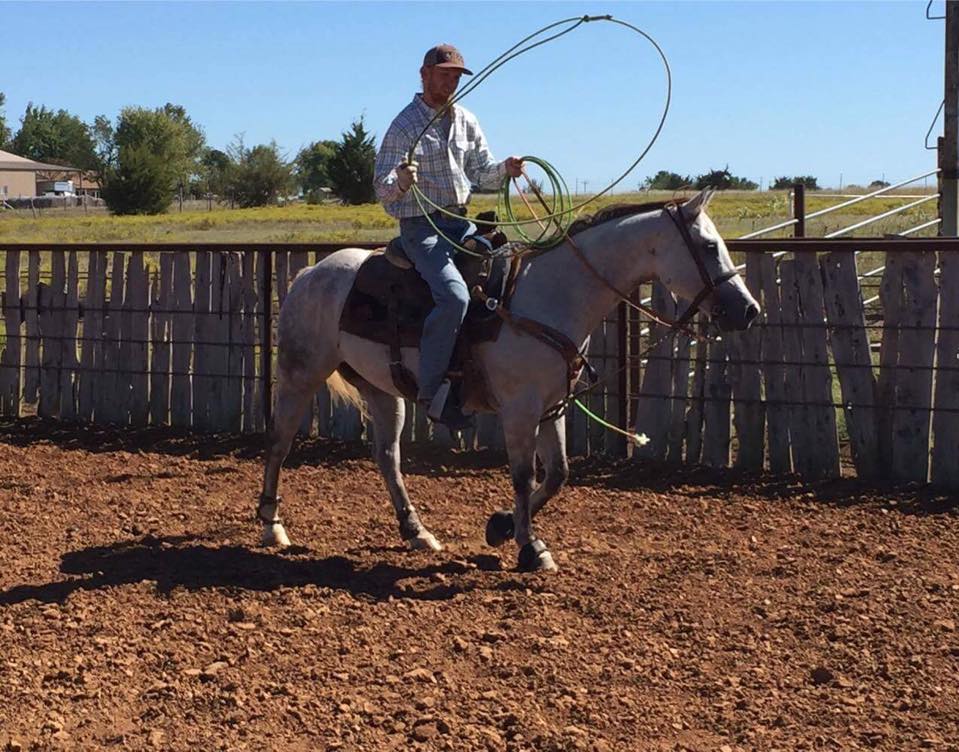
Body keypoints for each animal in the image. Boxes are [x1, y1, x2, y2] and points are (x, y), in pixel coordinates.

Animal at [257, 188, 759, 572]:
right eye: (709, 247)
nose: (749, 310)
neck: (549, 296)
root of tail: (311, 272)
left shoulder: (551, 406)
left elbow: (558, 474)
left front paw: (500, 526)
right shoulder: (519, 410)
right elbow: (523, 475)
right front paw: (530, 547)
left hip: (383, 390)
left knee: (388, 458)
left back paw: (417, 531)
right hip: (300, 375)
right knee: (279, 443)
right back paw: (271, 526)